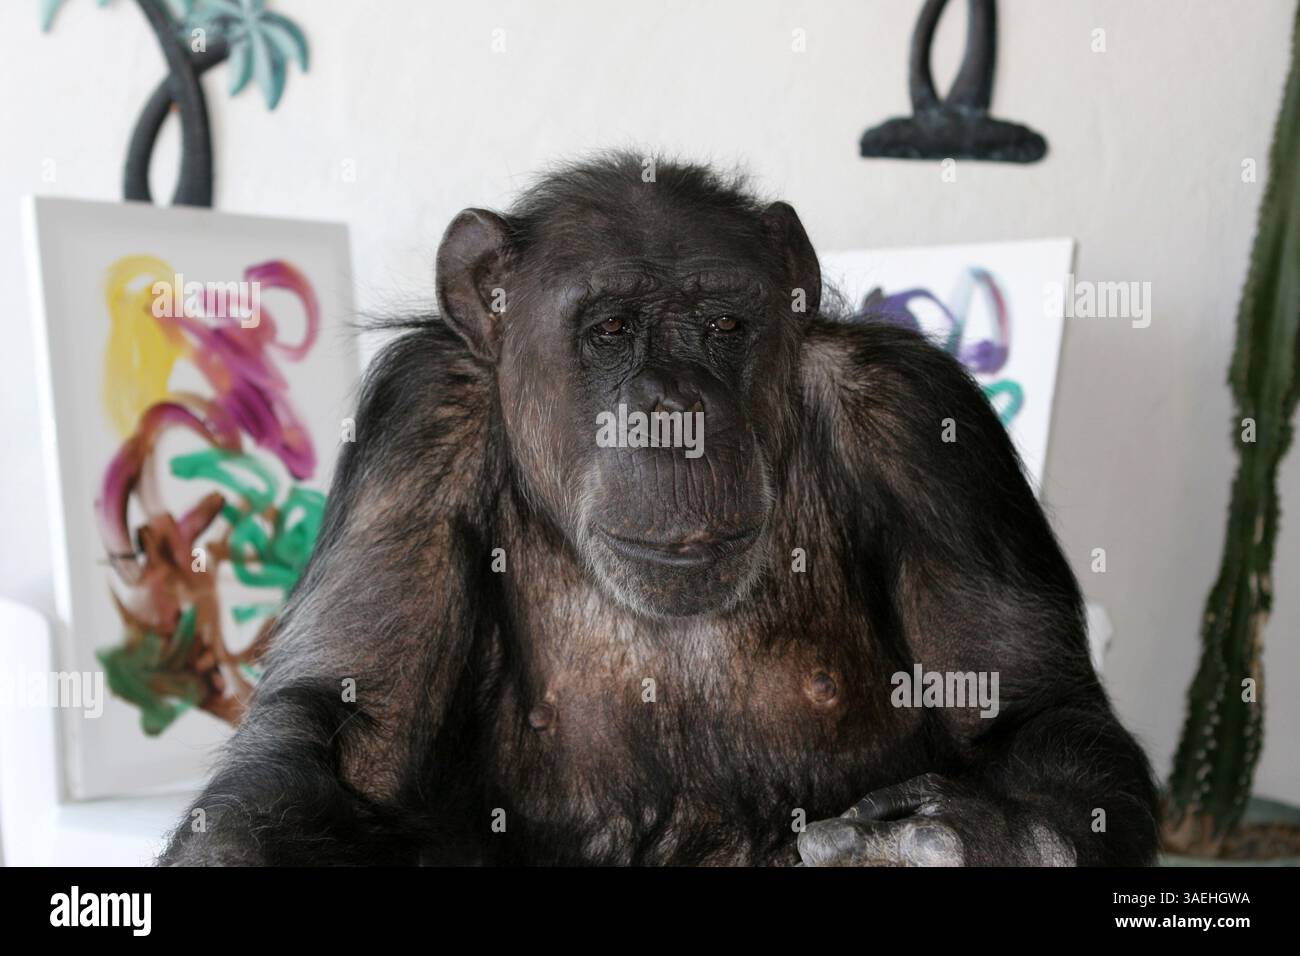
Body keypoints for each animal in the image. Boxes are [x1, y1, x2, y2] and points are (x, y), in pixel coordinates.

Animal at [160, 153, 1158, 866]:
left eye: (722, 326)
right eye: (611, 330)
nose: (677, 408)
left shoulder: (926, 425)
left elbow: (1025, 708)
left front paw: (965, 842)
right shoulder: (416, 429)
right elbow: (345, 747)